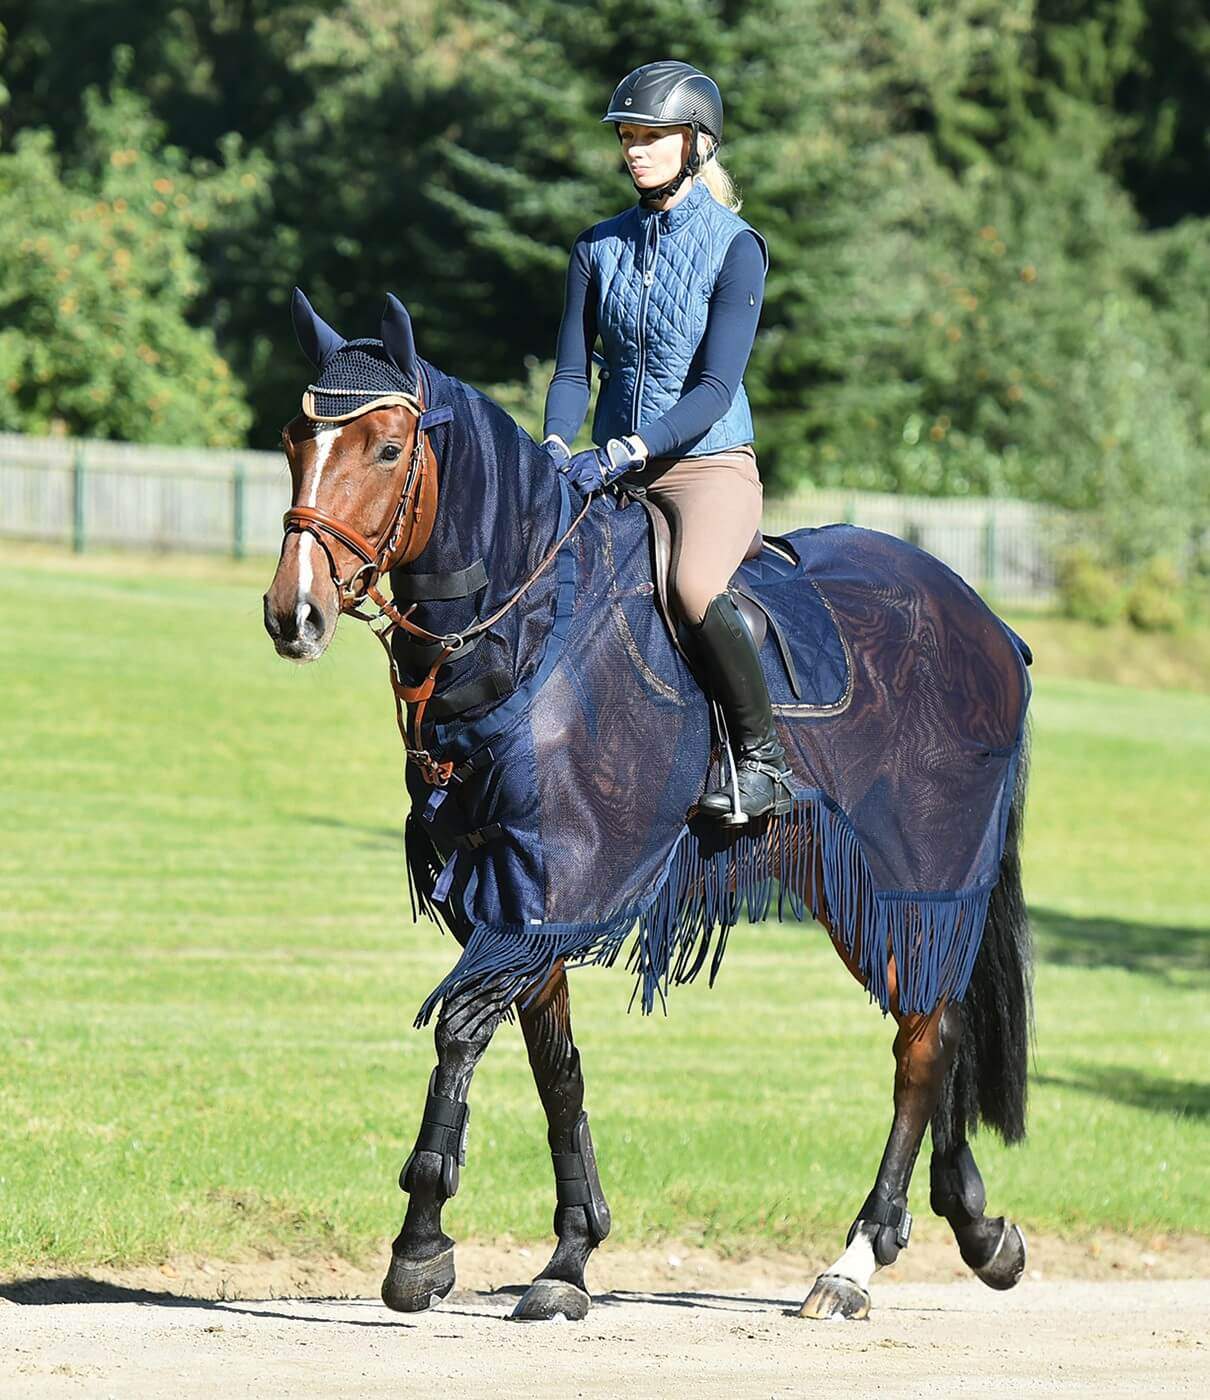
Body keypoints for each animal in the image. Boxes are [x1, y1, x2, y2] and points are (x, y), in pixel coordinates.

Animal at [263, 288, 1034, 1324]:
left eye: (387, 449)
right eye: (293, 438)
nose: (293, 613)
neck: (530, 628)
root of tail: (988, 624)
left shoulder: (556, 882)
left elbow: (462, 1030)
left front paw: (421, 1246)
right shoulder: (512, 890)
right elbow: (556, 1068)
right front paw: (569, 1256)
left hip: (918, 880)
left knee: (924, 1047)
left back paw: (856, 1259)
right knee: (937, 1041)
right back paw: (978, 1230)